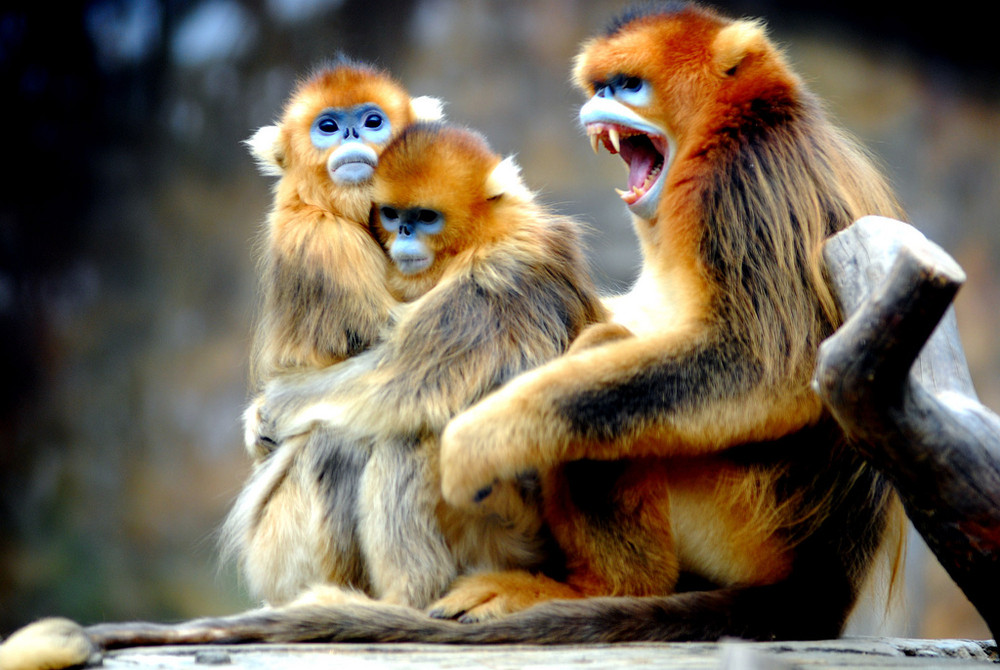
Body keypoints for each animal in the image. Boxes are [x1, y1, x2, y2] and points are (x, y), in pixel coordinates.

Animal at [223, 121, 606, 611]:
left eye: (425, 218)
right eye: (391, 214)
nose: (403, 232)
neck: (484, 237)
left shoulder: (488, 283)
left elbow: (392, 383)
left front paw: (268, 412)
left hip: (508, 530)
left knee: (378, 435)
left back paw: (402, 599)